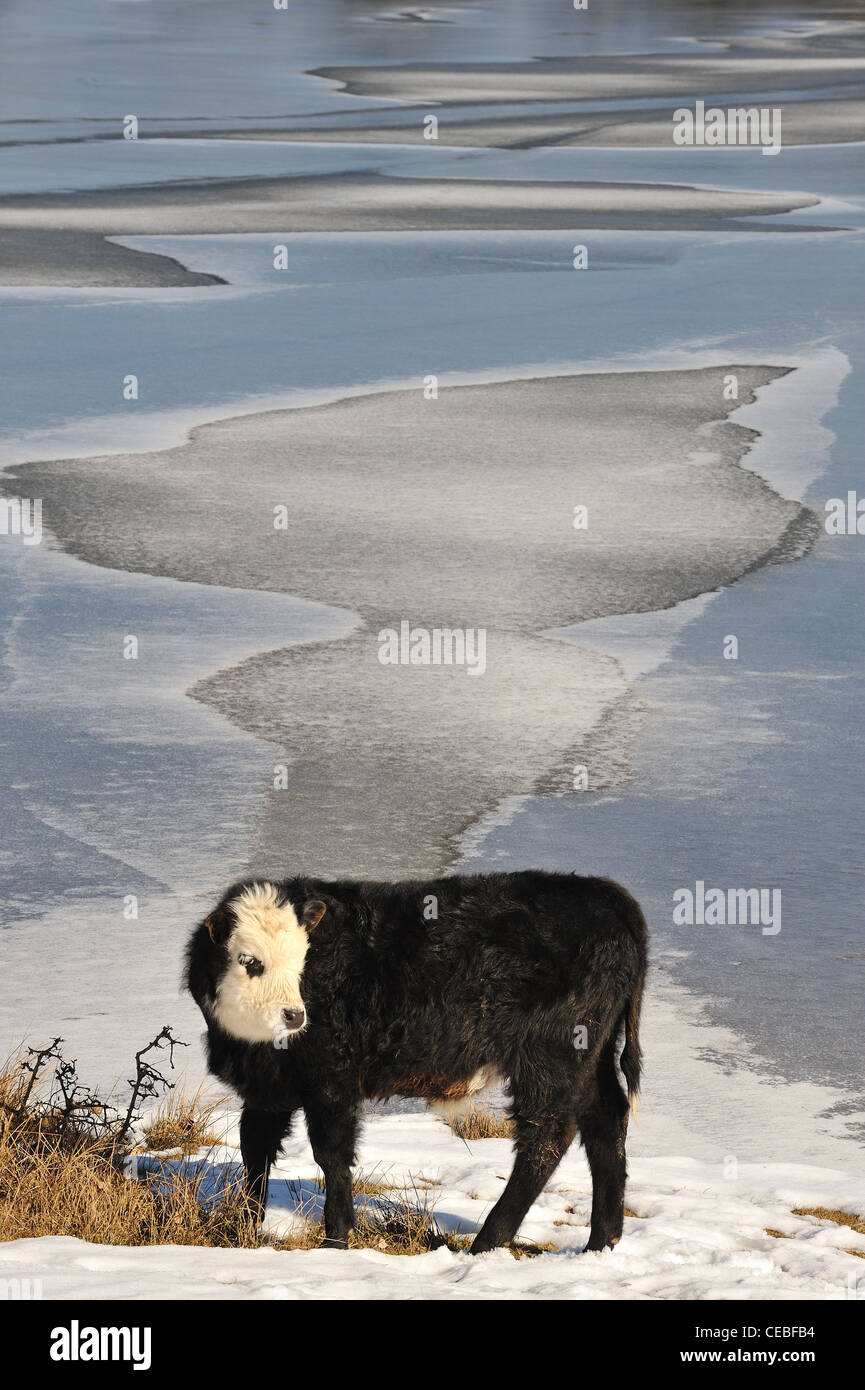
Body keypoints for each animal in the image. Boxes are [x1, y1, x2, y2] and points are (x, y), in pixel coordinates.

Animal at [185, 870, 648, 1254]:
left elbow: (331, 1155)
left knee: (546, 1136)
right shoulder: (267, 1087)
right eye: (250, 961)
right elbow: (255, 1151)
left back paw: (487, 1242)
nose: (295, 1016)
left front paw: (335, 1240)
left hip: (551, 1056)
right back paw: (601, 1242)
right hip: (591, 1055)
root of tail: (604, 894)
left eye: (302, 960)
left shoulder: (332, 1080)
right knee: (606, 1120)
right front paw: (243, 1228)